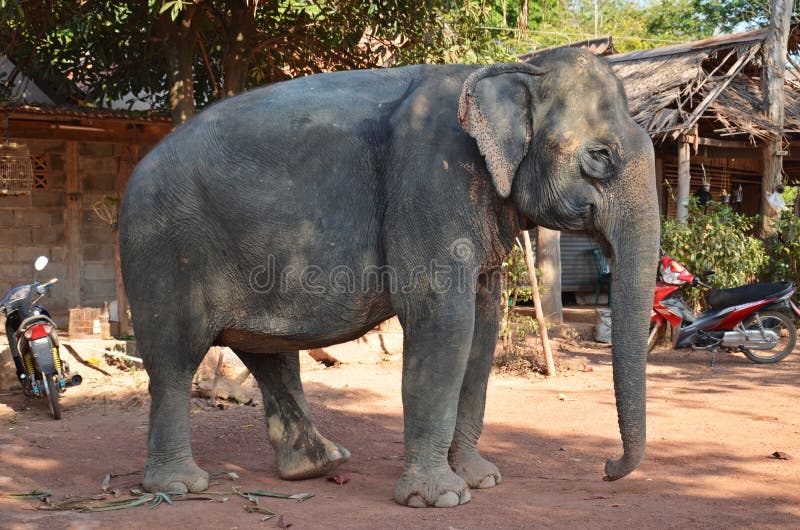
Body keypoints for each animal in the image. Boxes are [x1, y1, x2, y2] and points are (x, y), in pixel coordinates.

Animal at [119, 47, 659, 508]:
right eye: (601, 156)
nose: (607, 467)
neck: (511, 67)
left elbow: (483, 325)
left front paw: (481, 478)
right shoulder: (430, 181)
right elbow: (441, 317)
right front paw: (440, 498)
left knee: (268, 353)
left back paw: (319, 466)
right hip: (161, 245)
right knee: (173, 357)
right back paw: (180, 485)